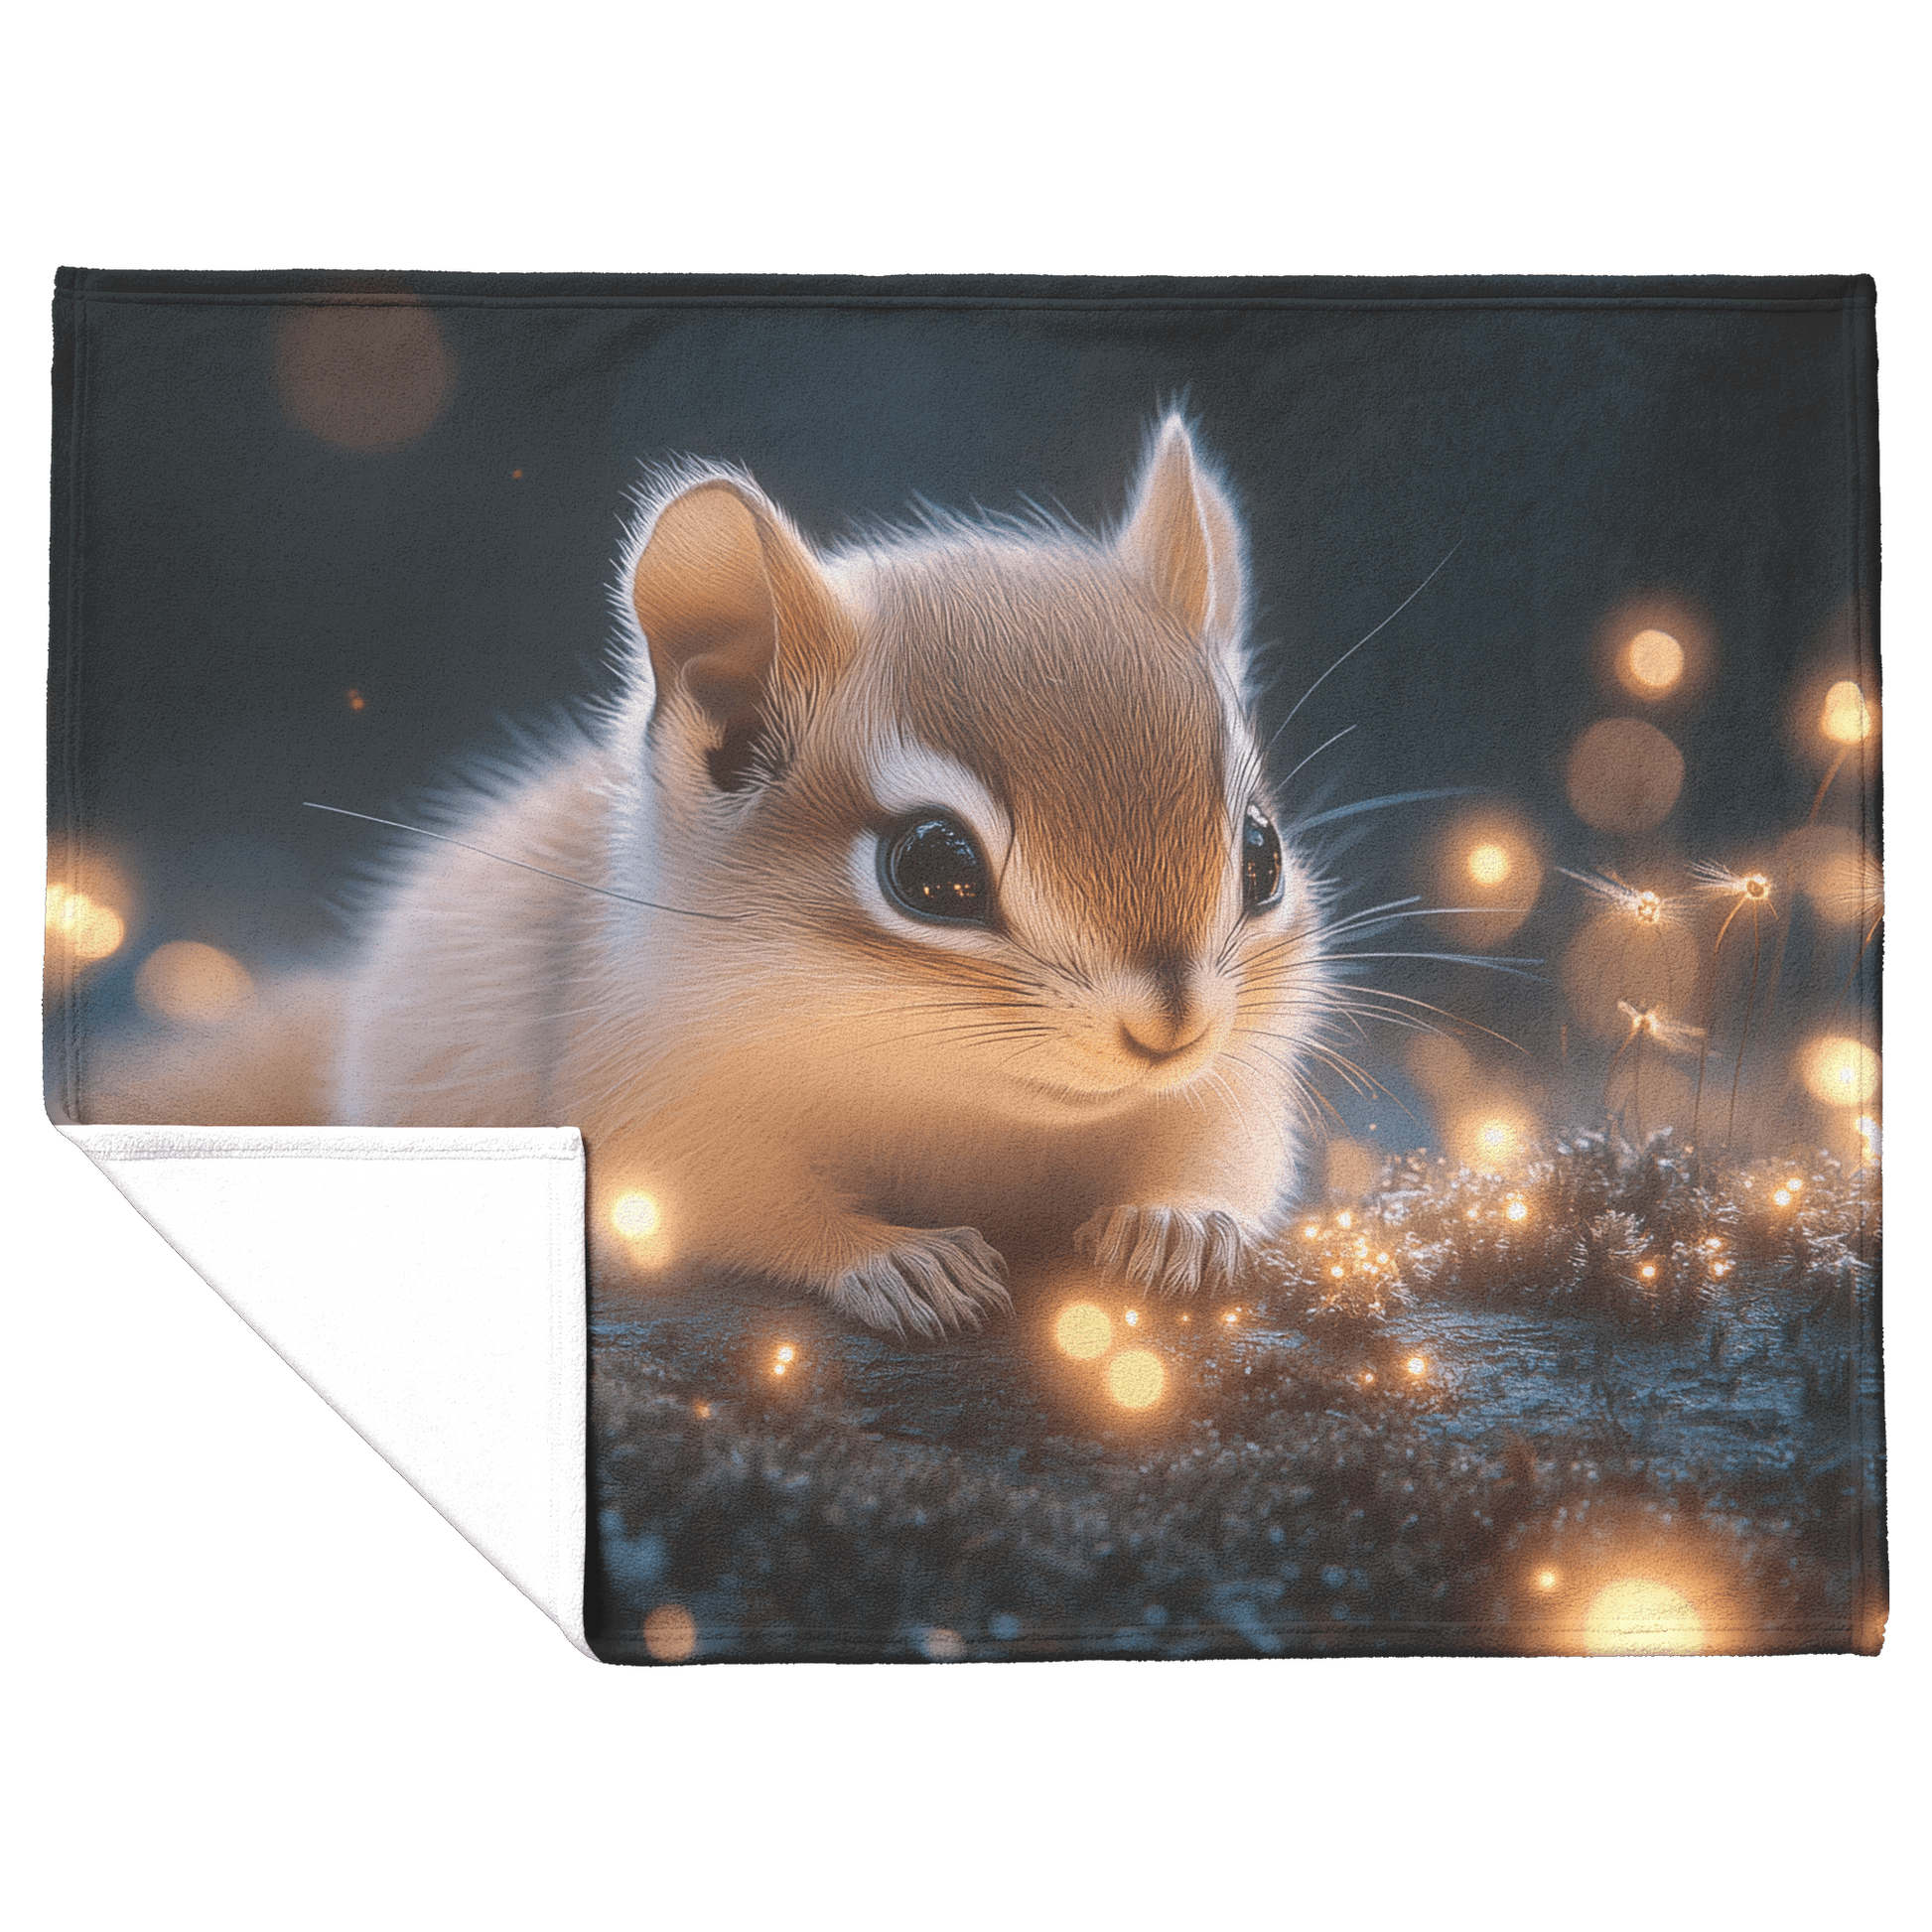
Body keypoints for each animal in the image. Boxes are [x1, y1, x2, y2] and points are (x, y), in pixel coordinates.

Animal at [84, 417, 1328, 1339]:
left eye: (1260, 852)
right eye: (933, 870)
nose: (1170, 1025)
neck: (963, 1099)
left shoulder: (1231, 1082)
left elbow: (1222, 1153)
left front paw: (1181, 1221)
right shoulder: (640, 1097)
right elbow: (735, 1198)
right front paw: (891, 1257)